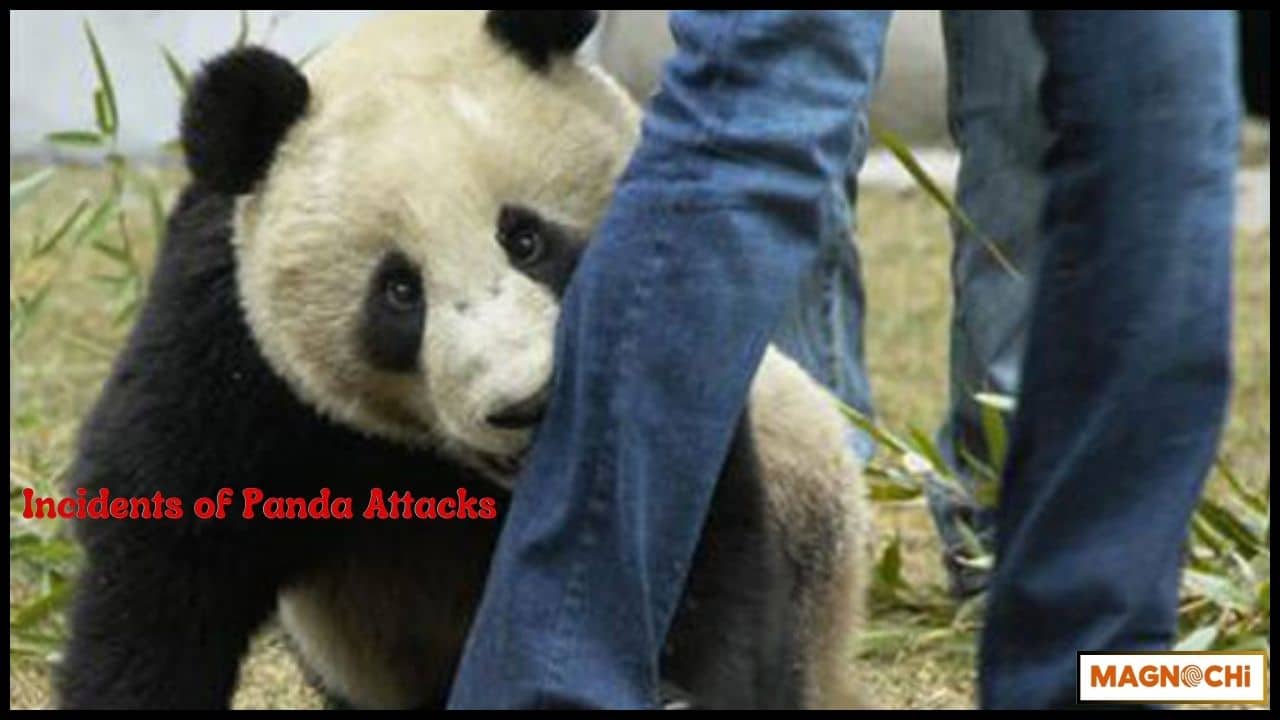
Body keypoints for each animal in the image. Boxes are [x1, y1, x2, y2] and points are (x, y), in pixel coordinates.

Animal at [56, 10, 870, 710]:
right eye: (398, 291)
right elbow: (168, 558)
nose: (523, 405)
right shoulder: (230, 350)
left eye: (526, 238)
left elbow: (691, 546)